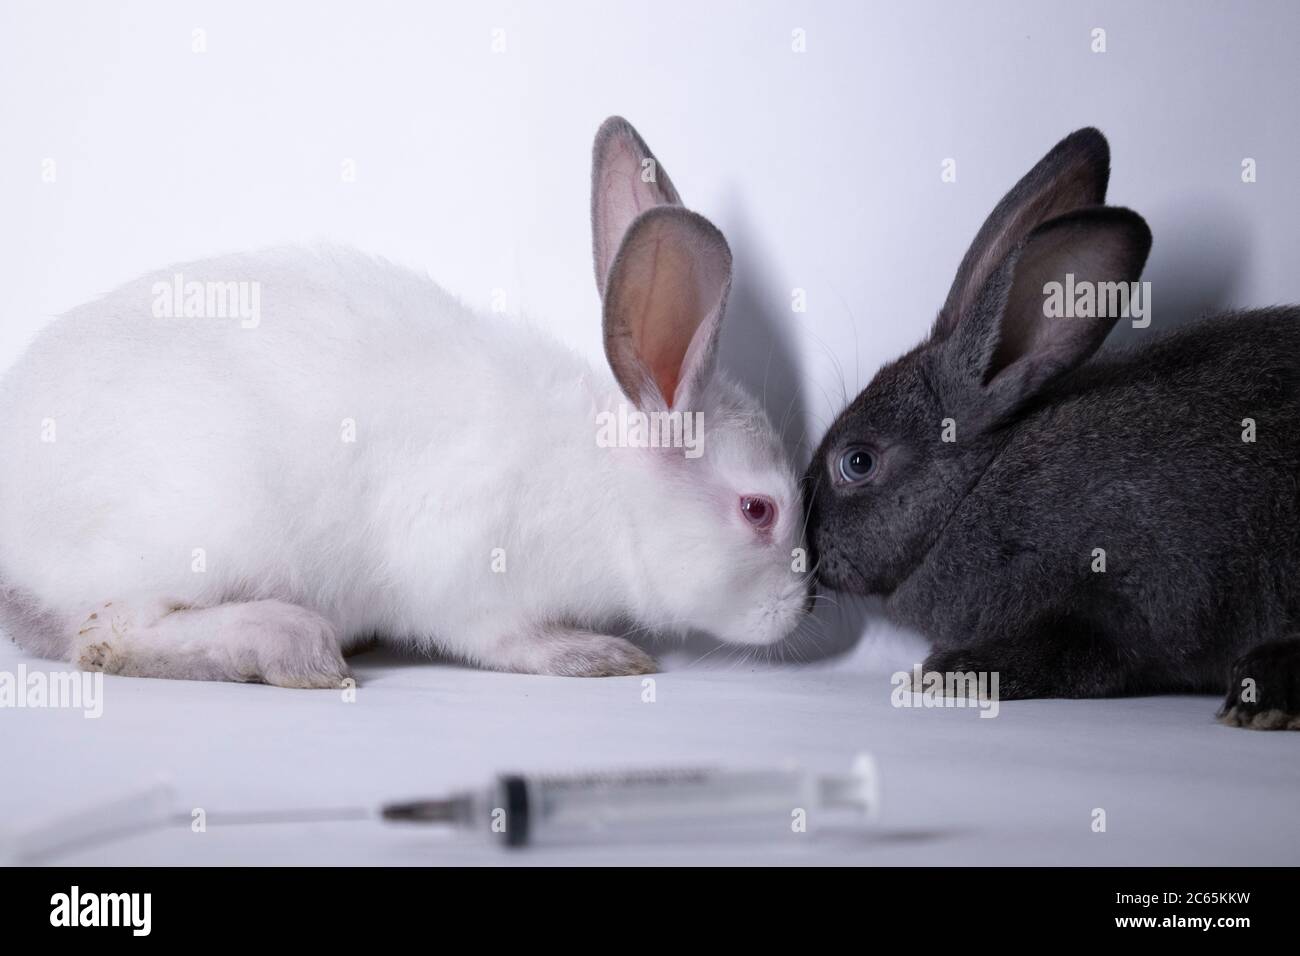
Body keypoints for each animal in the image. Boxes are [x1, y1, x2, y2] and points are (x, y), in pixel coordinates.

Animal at [0, 117, 810, 687]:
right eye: (758, 510)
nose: (796, 613)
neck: (611, 492)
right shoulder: (464, 568)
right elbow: (502, 638)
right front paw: (592, 654)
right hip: (197, 532)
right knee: (108, 634)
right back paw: (295, 648)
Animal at [803, 127, 1300, 729]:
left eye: (857, 462)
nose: (804, 541)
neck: (972, 491)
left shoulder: (1126, 589)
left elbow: (1080, 656)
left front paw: (952, 672)